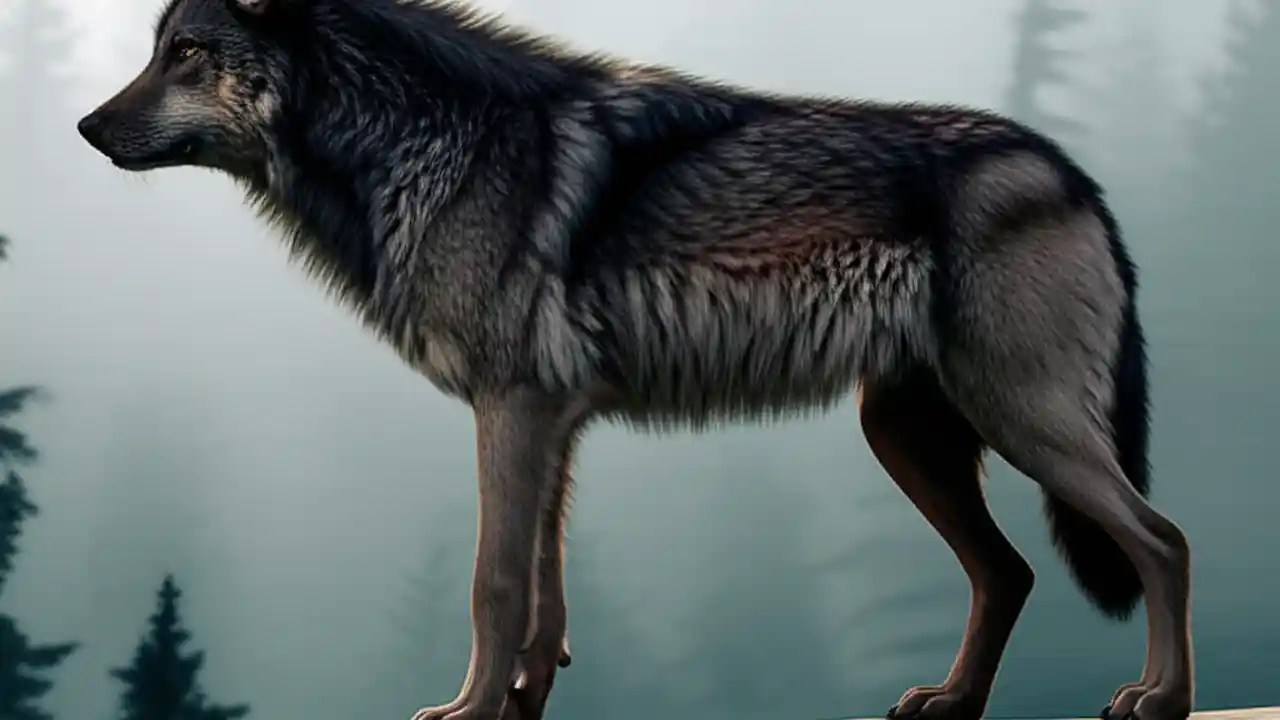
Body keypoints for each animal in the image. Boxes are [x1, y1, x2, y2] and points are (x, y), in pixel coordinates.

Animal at [76, 1, 1195, 718]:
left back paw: (1158, 699)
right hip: (908, 436)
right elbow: (546, 594)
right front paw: (522, 701)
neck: (427, 145)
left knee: (1163, 541)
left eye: (186, 51)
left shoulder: (511, 407)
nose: (85, 127)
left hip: (1022, 423)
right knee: (1009, 571)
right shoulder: (555, 420)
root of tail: (1072, 174)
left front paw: (465, 711)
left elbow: (493, 582)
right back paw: (952, 701)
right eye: (156, 49)